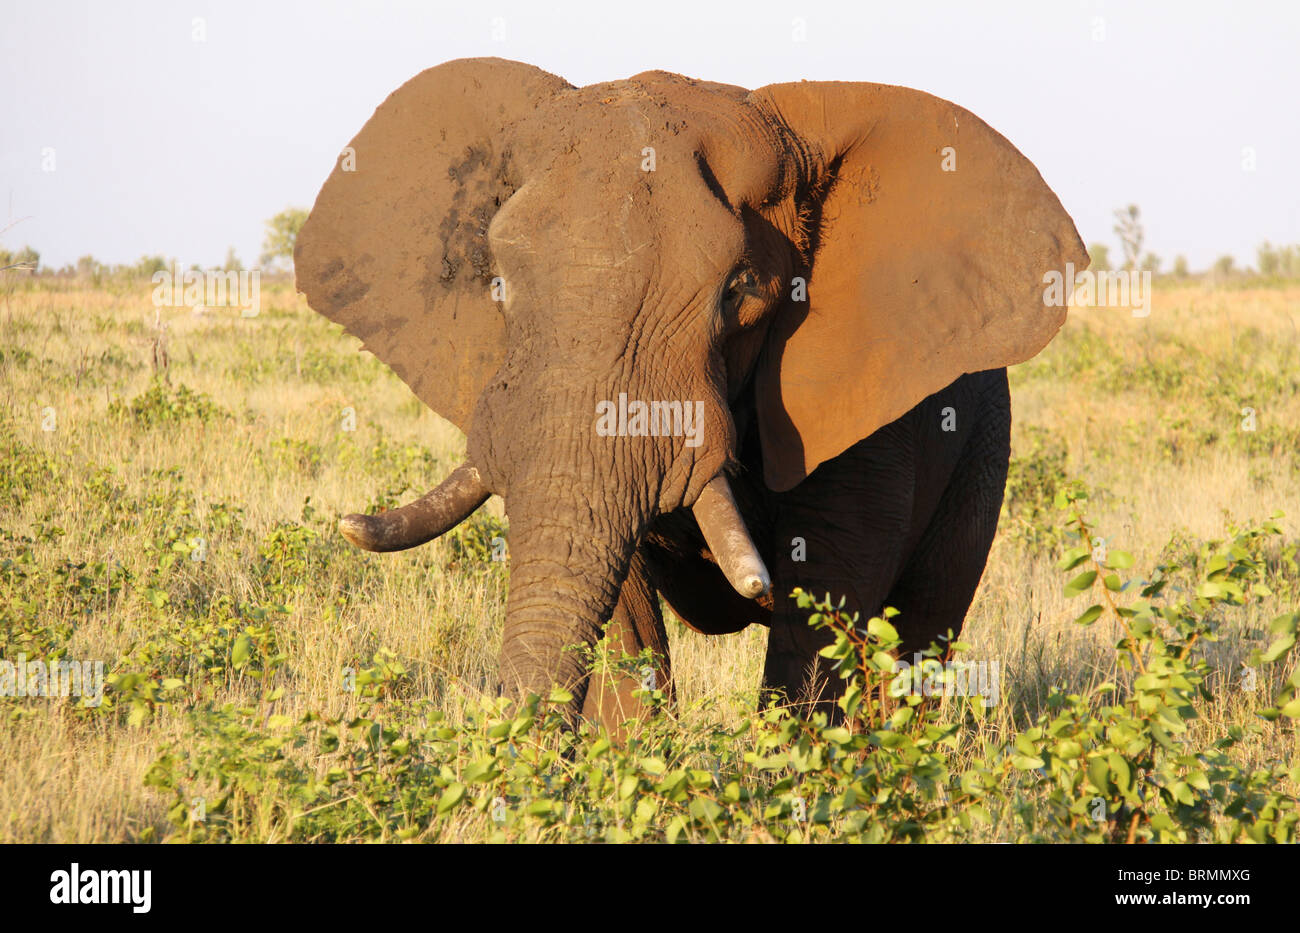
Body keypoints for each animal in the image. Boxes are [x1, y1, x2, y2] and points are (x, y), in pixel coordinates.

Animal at [294, 57, 1085, 726]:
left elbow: (829, 584)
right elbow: (619, 599)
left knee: (920, 631)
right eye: (496, 284)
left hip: (983, 443)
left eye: (740, 292)